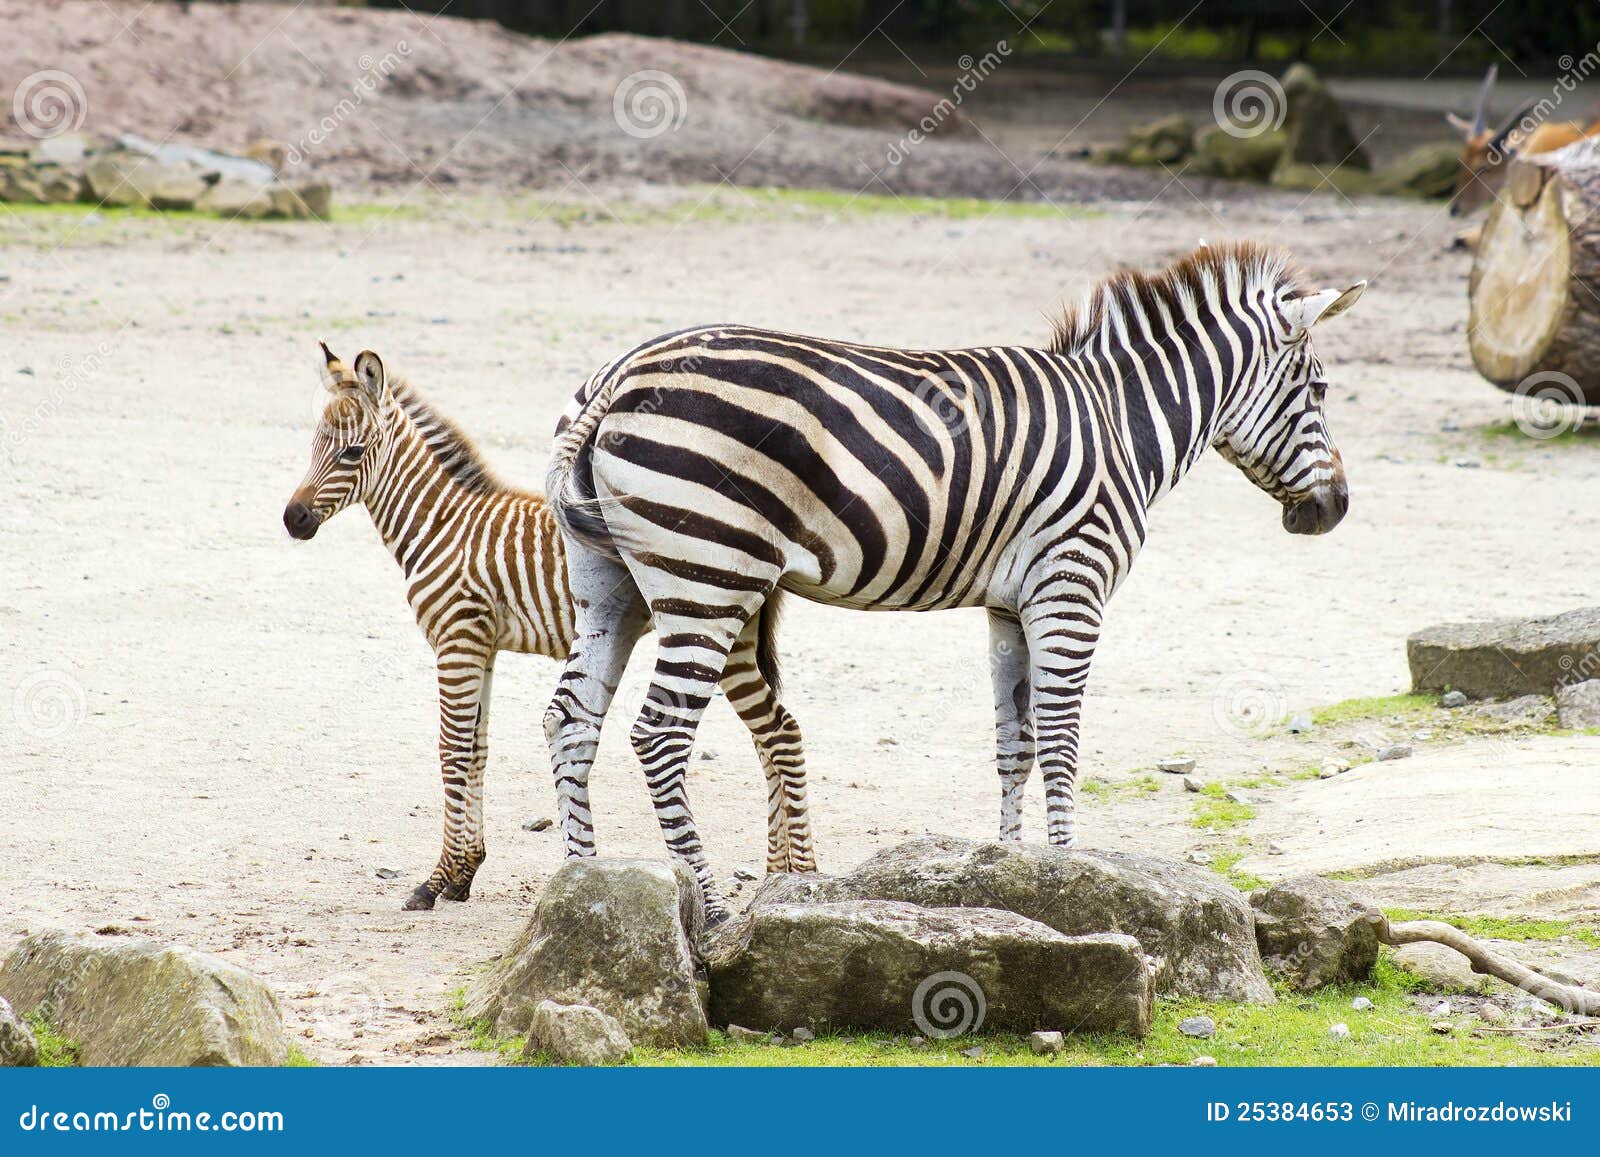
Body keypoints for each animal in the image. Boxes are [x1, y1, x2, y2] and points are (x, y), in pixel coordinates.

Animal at [282, 343, 814, 911]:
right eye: (313, 445)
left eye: (352, 453)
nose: (293, 519)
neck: (443, 524)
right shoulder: (482, 646)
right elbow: (478, 749)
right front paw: (463, 874)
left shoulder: (456, 638)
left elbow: (453, 749)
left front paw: (435, 881)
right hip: (730, 633)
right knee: (777, 731)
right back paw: (782, 879)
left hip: (710, 620)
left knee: (775, 733)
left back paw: (794, 878)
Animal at [544, 241, 1364, 923]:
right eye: (1321, 391)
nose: (1335, 510)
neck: (1119, 421)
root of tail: (616, 378)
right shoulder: (1072, 582)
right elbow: (1061, 738)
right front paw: (1074, 870)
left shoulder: (1009, 606)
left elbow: (1015, 742)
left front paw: (1010, 871)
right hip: (710, 577)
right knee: (659, 732)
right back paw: (710, 907)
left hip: (612, 583)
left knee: (570, 718)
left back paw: (582, 888)